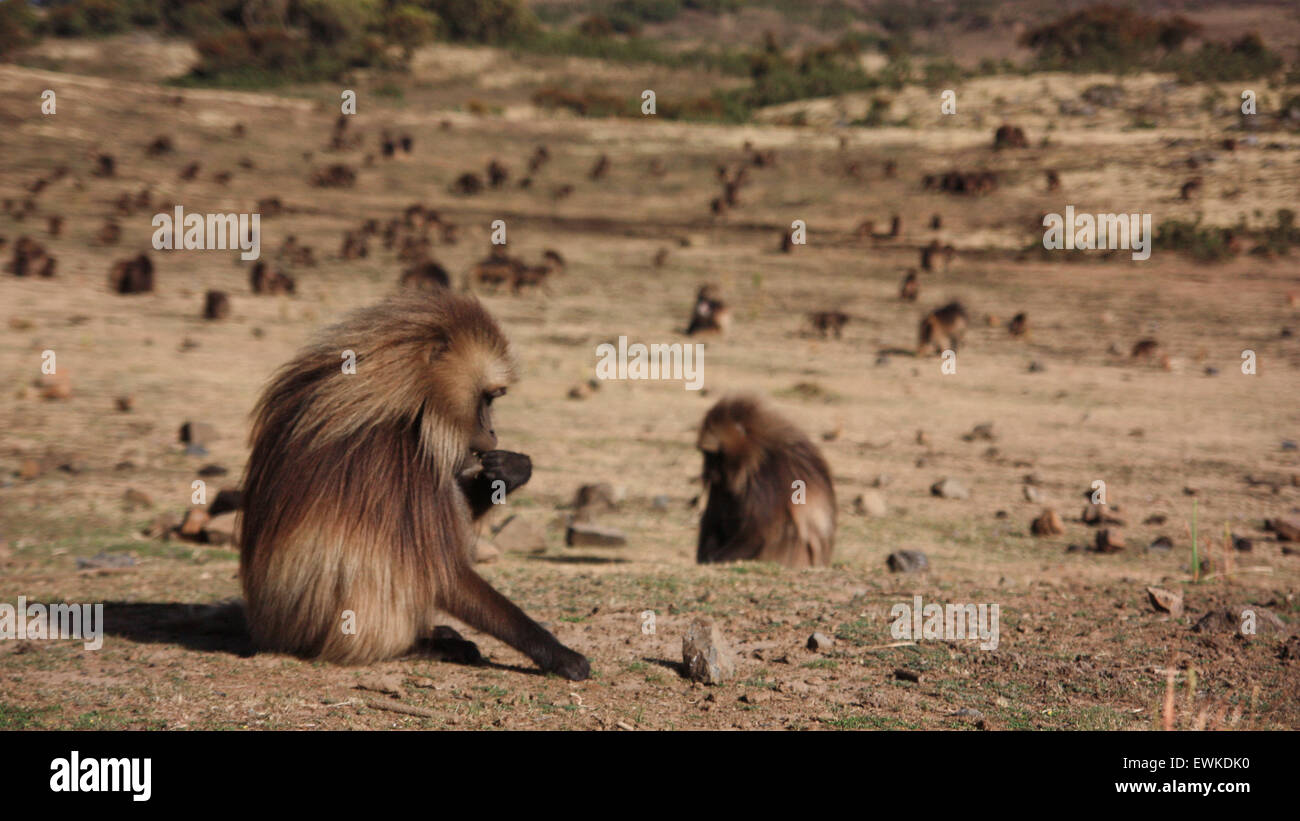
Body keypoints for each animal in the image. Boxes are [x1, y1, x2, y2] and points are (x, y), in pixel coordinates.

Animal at [238, 290, 590, 679]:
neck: (400, 400)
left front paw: (508, 472)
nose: (493, 431)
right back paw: (426, 646)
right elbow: (446, 572)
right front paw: (558, 654)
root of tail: (270, 633)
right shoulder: (402, 458)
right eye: (487, 399)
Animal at [695, 395, 836, 568]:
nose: (709, 472)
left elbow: (761, 532)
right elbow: (713, 518)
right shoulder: (725, 482)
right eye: (705, 454)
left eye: (712, 454)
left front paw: (716, 559)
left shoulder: (765, 478)